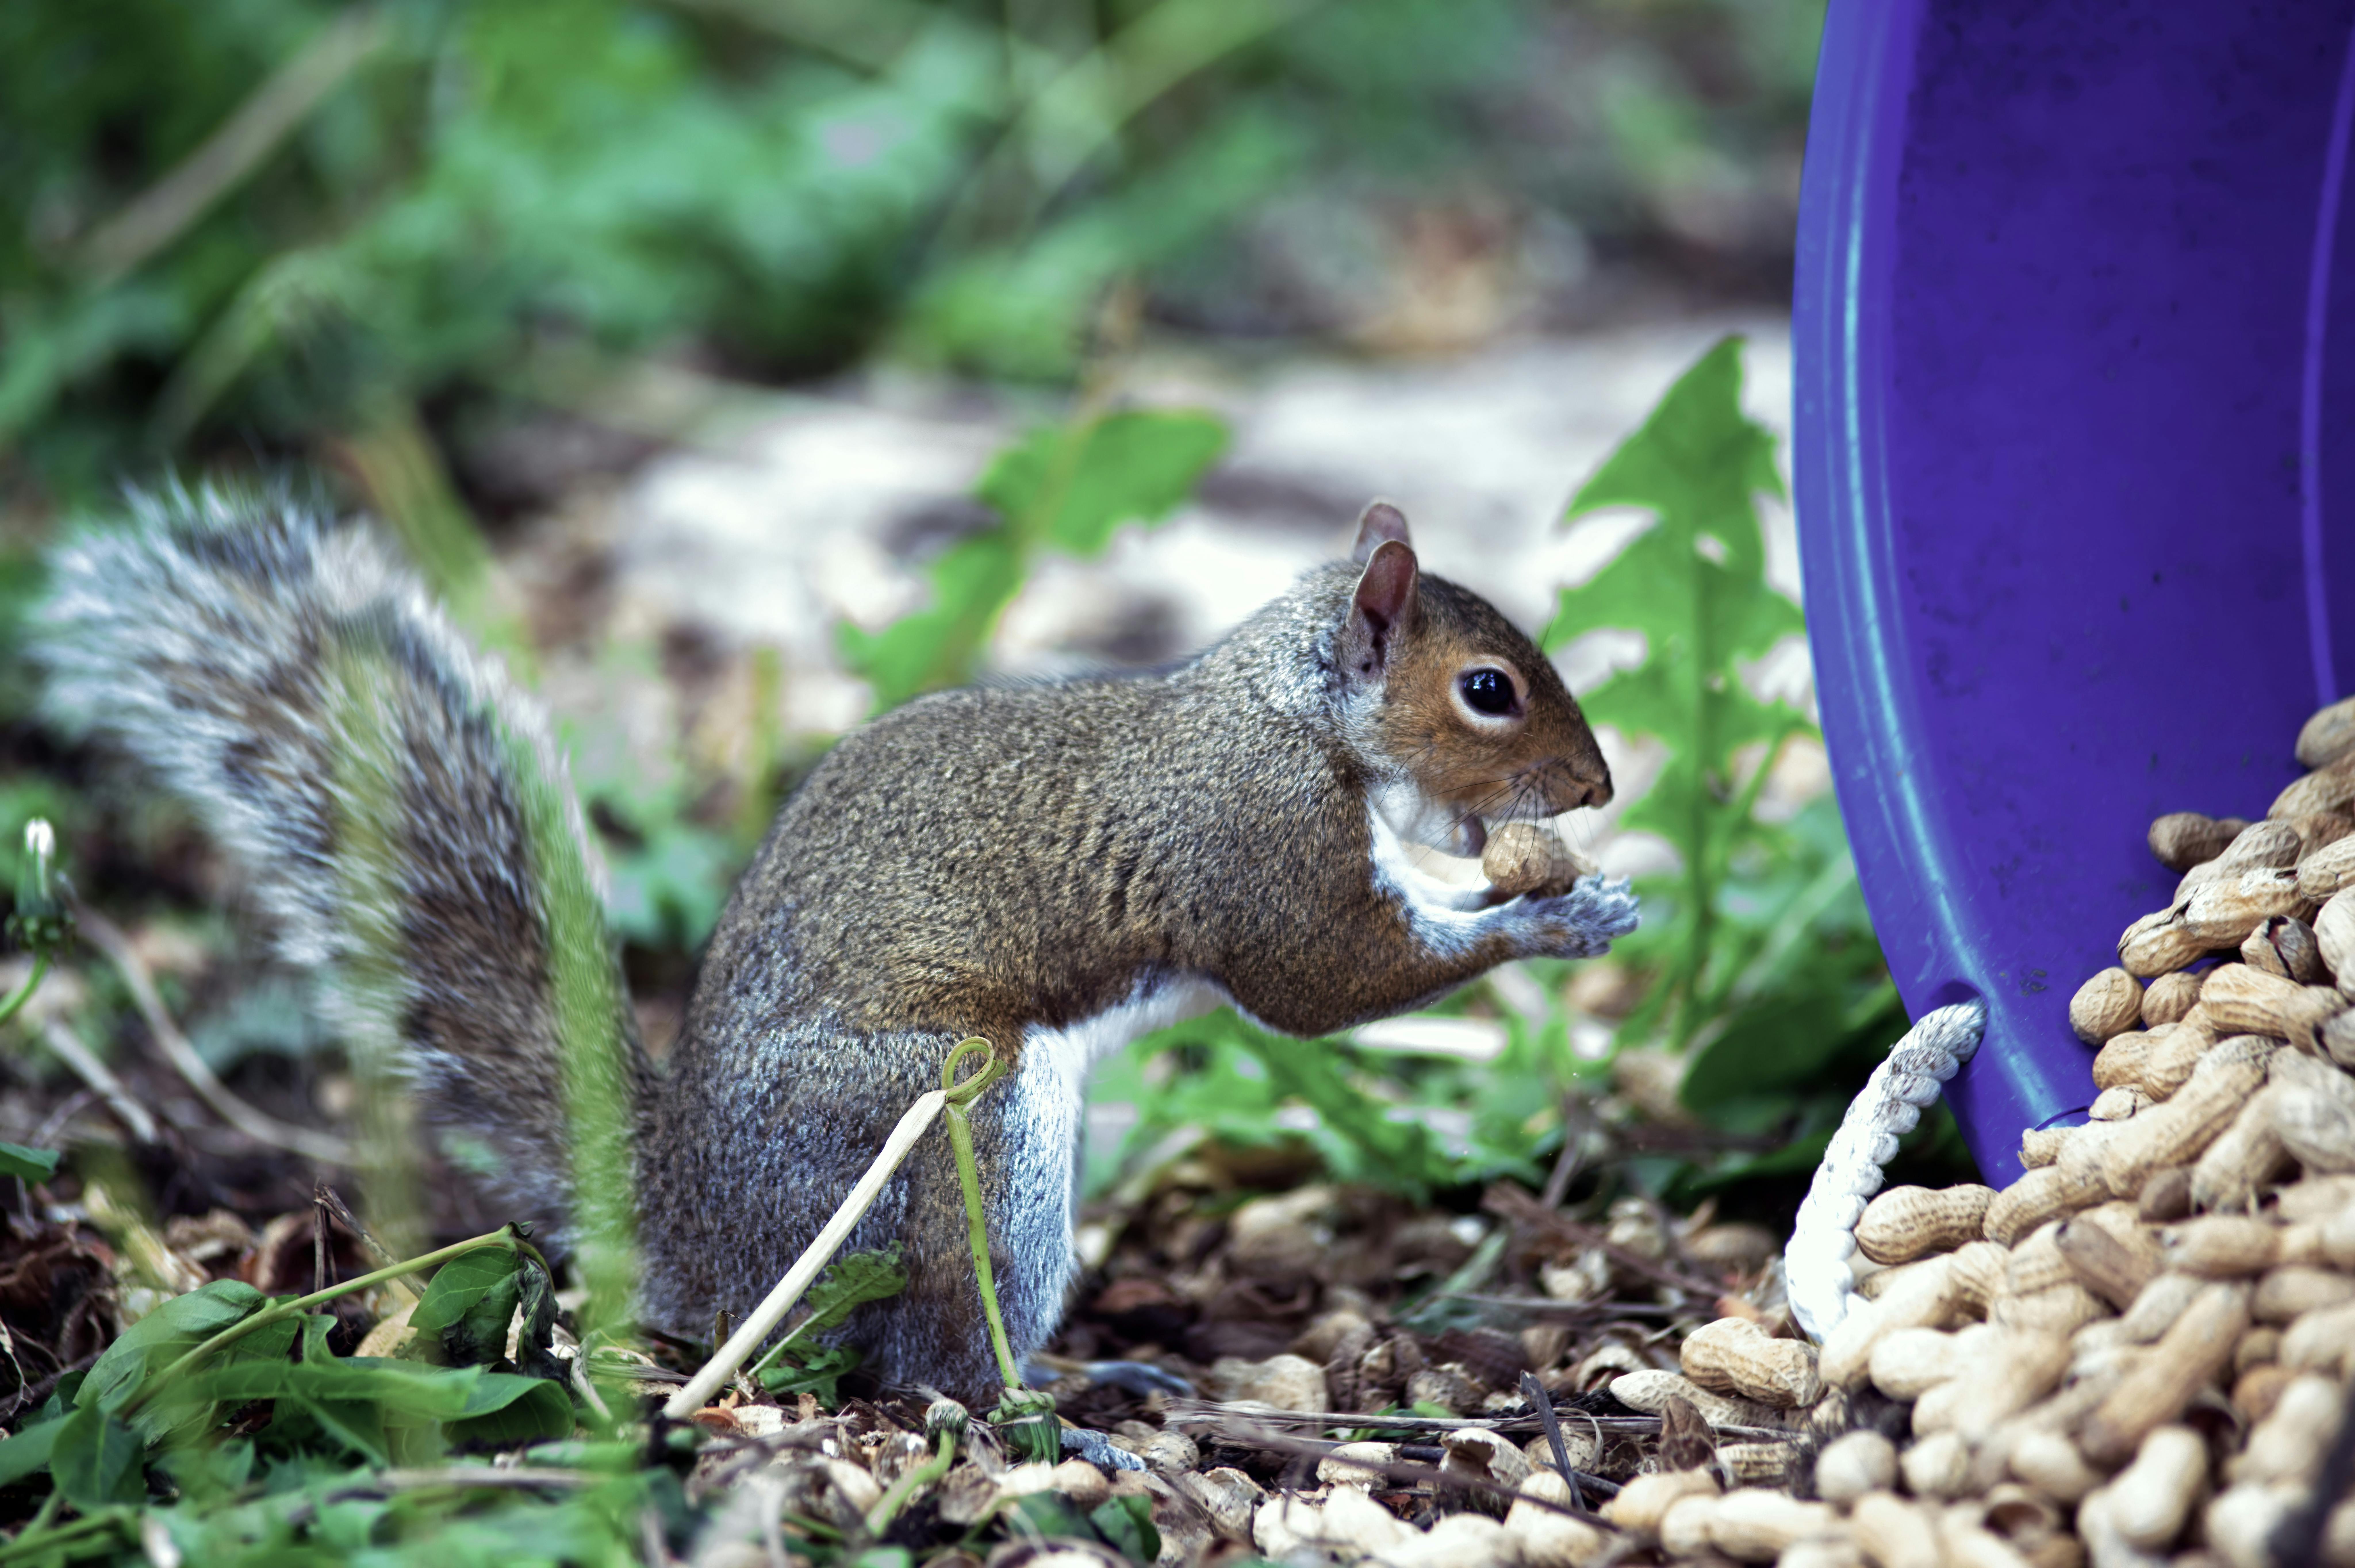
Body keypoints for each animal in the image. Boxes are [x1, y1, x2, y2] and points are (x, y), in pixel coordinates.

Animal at [36, 482, 1639, 1399]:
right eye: (1488, 688)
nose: (1600, 790)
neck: (1291, 708)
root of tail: (692, 1224)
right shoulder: (1254, 844)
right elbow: (1327, 981)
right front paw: (1561, 913)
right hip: (947, 1112)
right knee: (929, 1352)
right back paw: (1043, 1404)